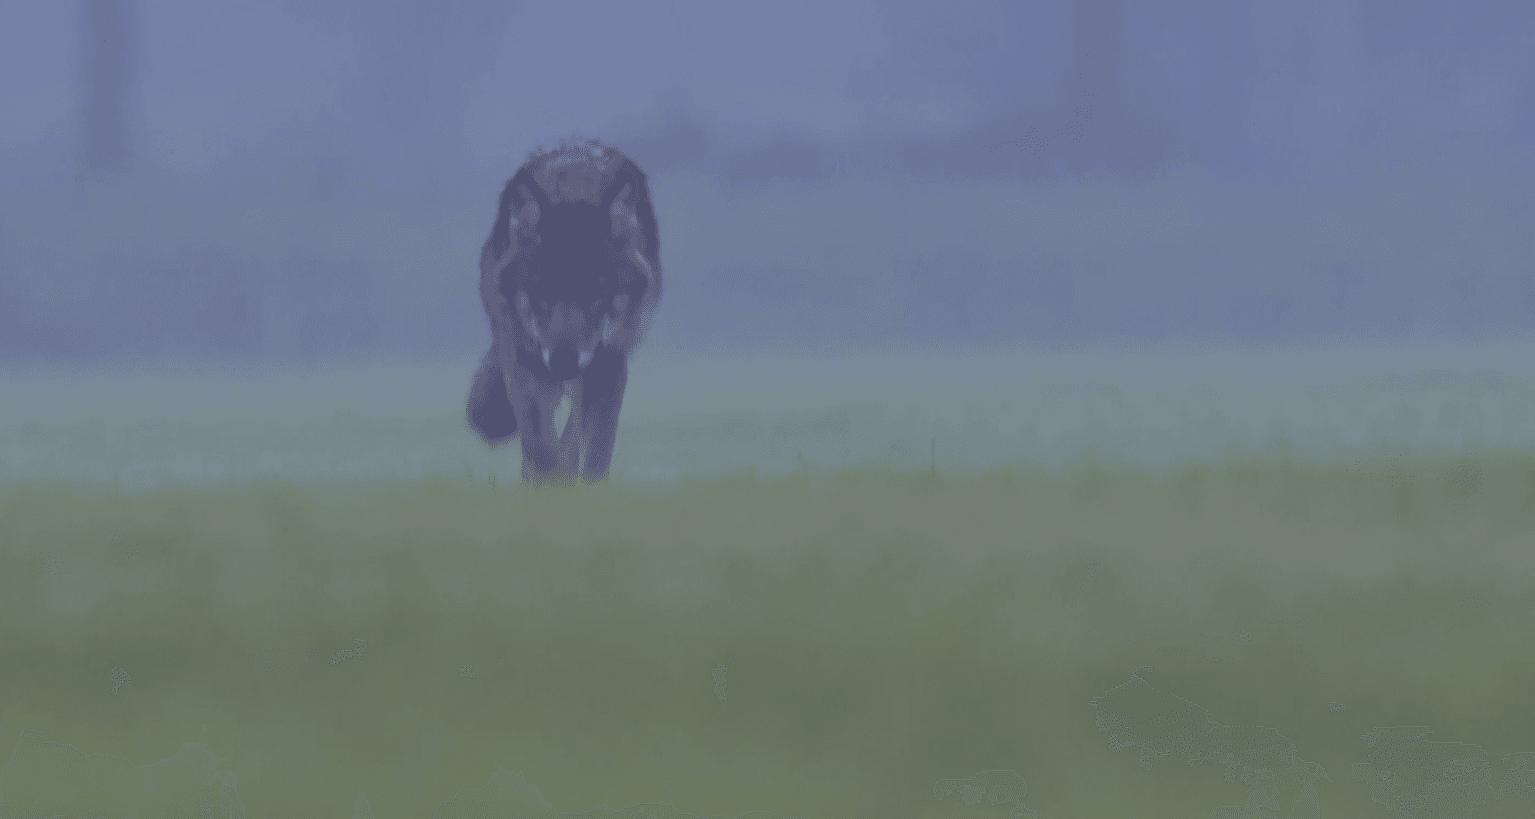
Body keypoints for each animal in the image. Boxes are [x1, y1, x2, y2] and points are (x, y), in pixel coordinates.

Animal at [466, 141, 661, 483]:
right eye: (543, 294)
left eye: (596, 295)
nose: (564, 361)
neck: (575, 187)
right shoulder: (522, 358)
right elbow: (538, 440)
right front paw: (545, 487)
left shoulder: (608, 361)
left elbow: (595, 444)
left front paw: (584, 486)